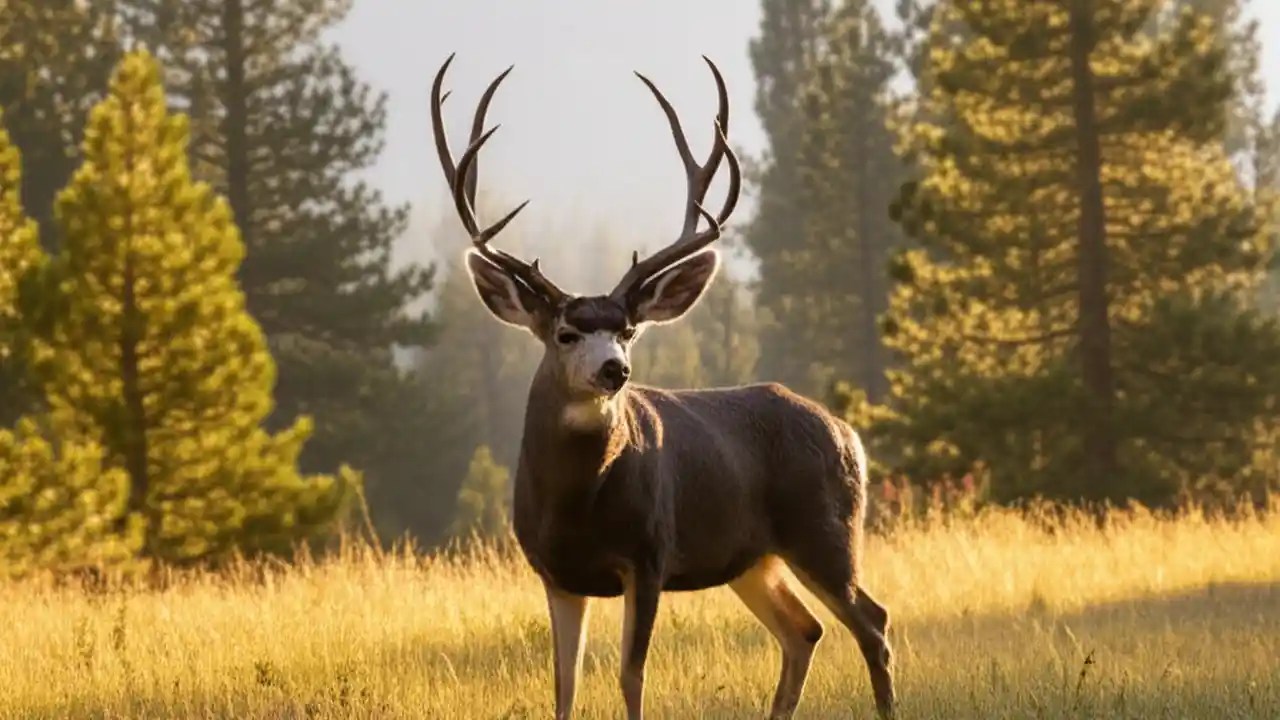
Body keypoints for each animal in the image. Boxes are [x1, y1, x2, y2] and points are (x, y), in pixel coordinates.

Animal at [429, 53, 896, 720]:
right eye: (566, 332)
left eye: (627, 330)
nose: (615, 370)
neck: (576, 505)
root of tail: (849, 433)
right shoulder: (553, 571)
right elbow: (563, 685)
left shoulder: (649, 555)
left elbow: (630, 675)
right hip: (751, 557)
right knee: (805, 629)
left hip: (825, 528)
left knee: (872, 622)